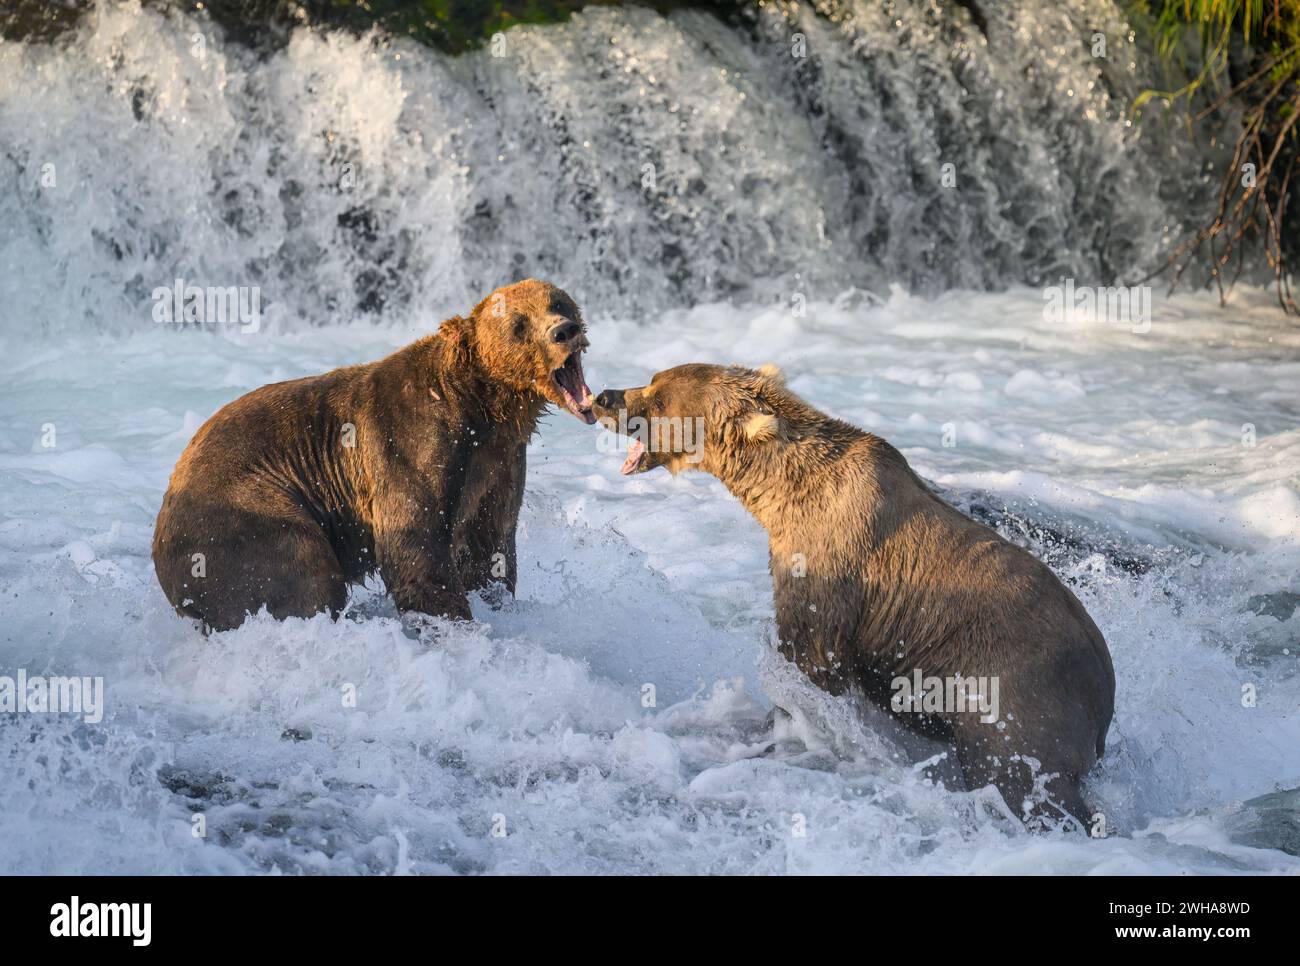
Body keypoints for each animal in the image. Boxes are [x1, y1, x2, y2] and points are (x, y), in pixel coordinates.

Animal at [152, 279, 595, 632]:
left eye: (558, 302)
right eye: (519, 324)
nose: (565, 330)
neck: (483, 407)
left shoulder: (498, 462)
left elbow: (489, 544)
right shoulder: (412, 442)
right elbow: (413, 542)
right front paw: (454, 623)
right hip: (241, 515)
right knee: (302, 571)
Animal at [592, 363, 1115, 827]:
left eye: (659, 397)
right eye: (653, 378)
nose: (605, 397)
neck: (782, 498)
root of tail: (1105, 691)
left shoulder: (830, 565)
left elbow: (809, 658)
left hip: (1017, 692)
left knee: (1023, 777)